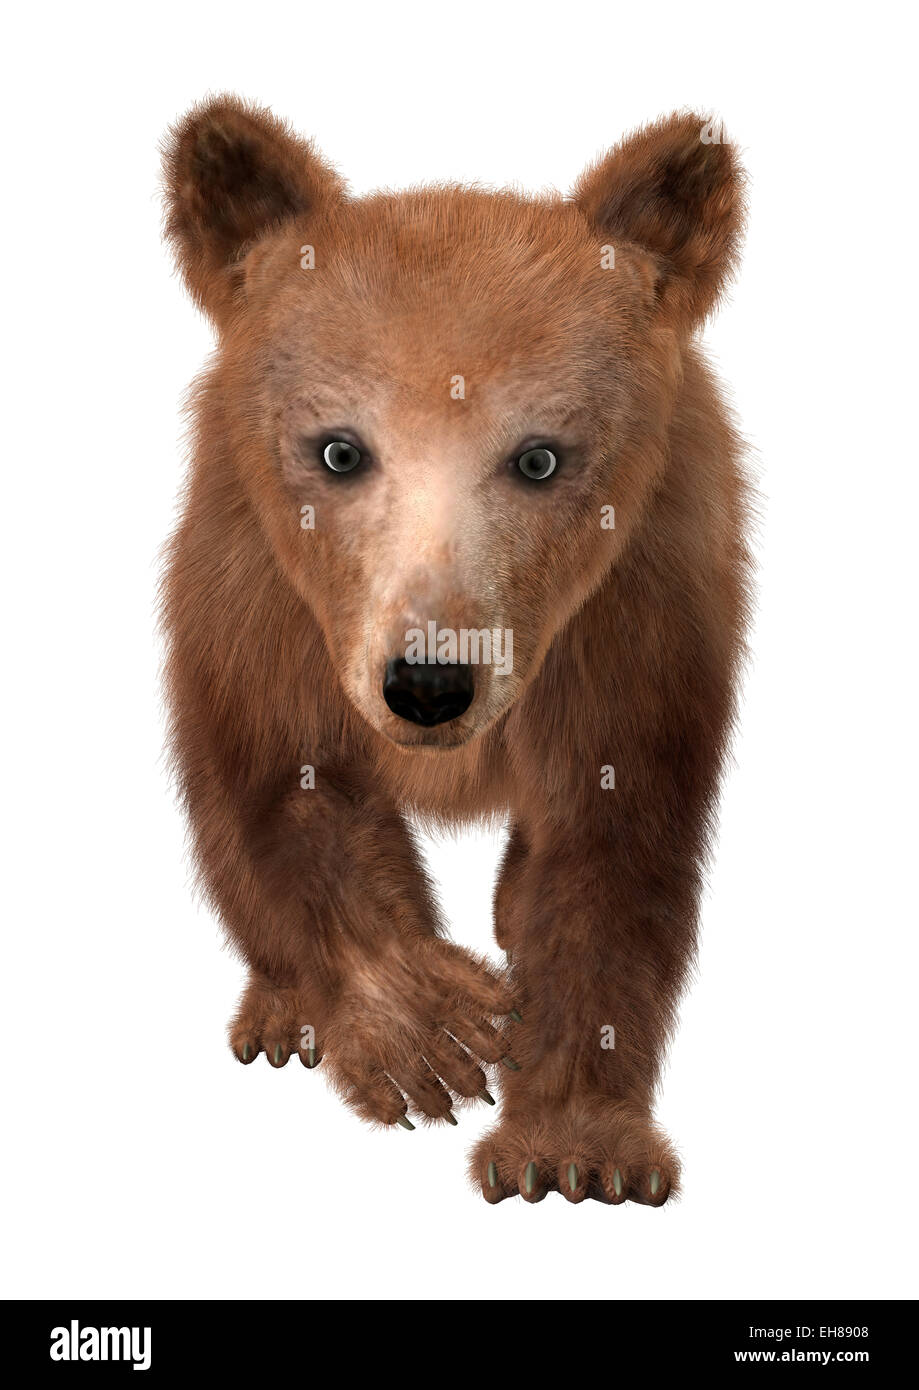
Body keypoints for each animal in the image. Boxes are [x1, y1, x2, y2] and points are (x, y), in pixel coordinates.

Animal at [161, 95, 751, 1205]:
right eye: (338, 448)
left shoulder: (637, 609)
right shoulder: (258, 589)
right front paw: (420, 1032)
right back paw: (280, 1013)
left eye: (540, 456)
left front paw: (573, 1144)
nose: (428, 684)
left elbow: (609, 844)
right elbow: (279, 783)